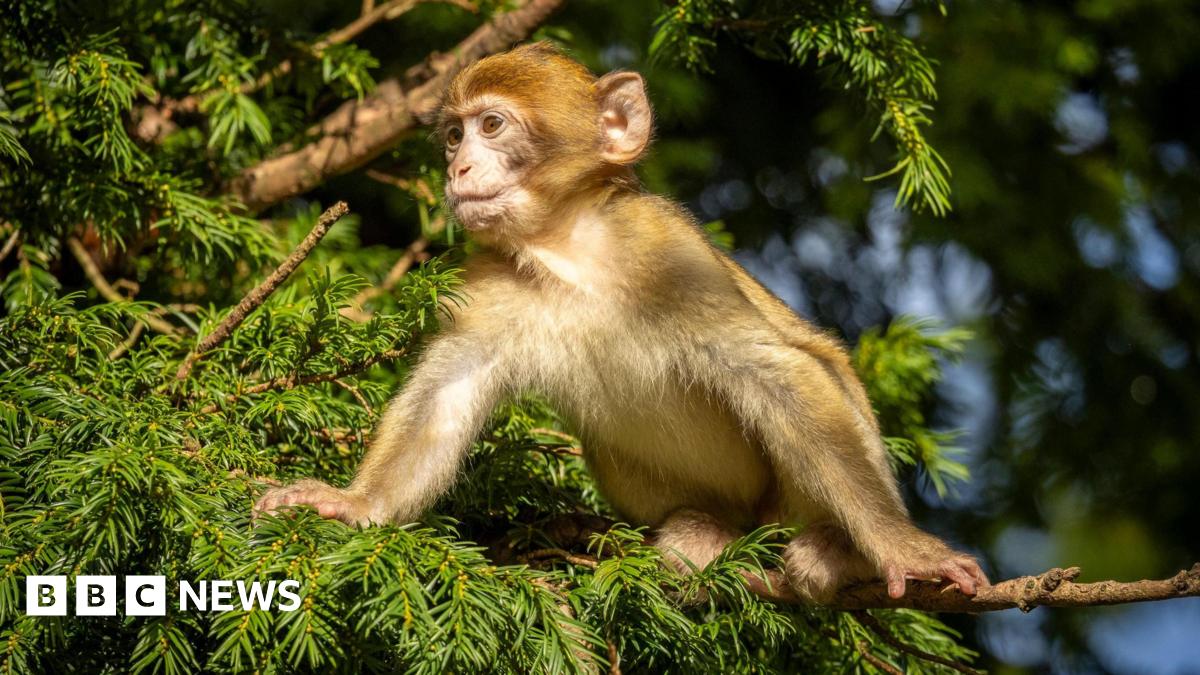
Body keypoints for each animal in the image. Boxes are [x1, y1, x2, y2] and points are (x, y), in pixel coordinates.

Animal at [254, 42, 989, 603]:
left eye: (491, 126)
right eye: (454, 134)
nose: (457, 167)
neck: (568, 252)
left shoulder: (669, 255)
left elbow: (776, 371)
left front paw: (903, 546)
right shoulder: (489, 282)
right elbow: (448, 392)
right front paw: (354, 504)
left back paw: (840, 554)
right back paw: (703, 534)